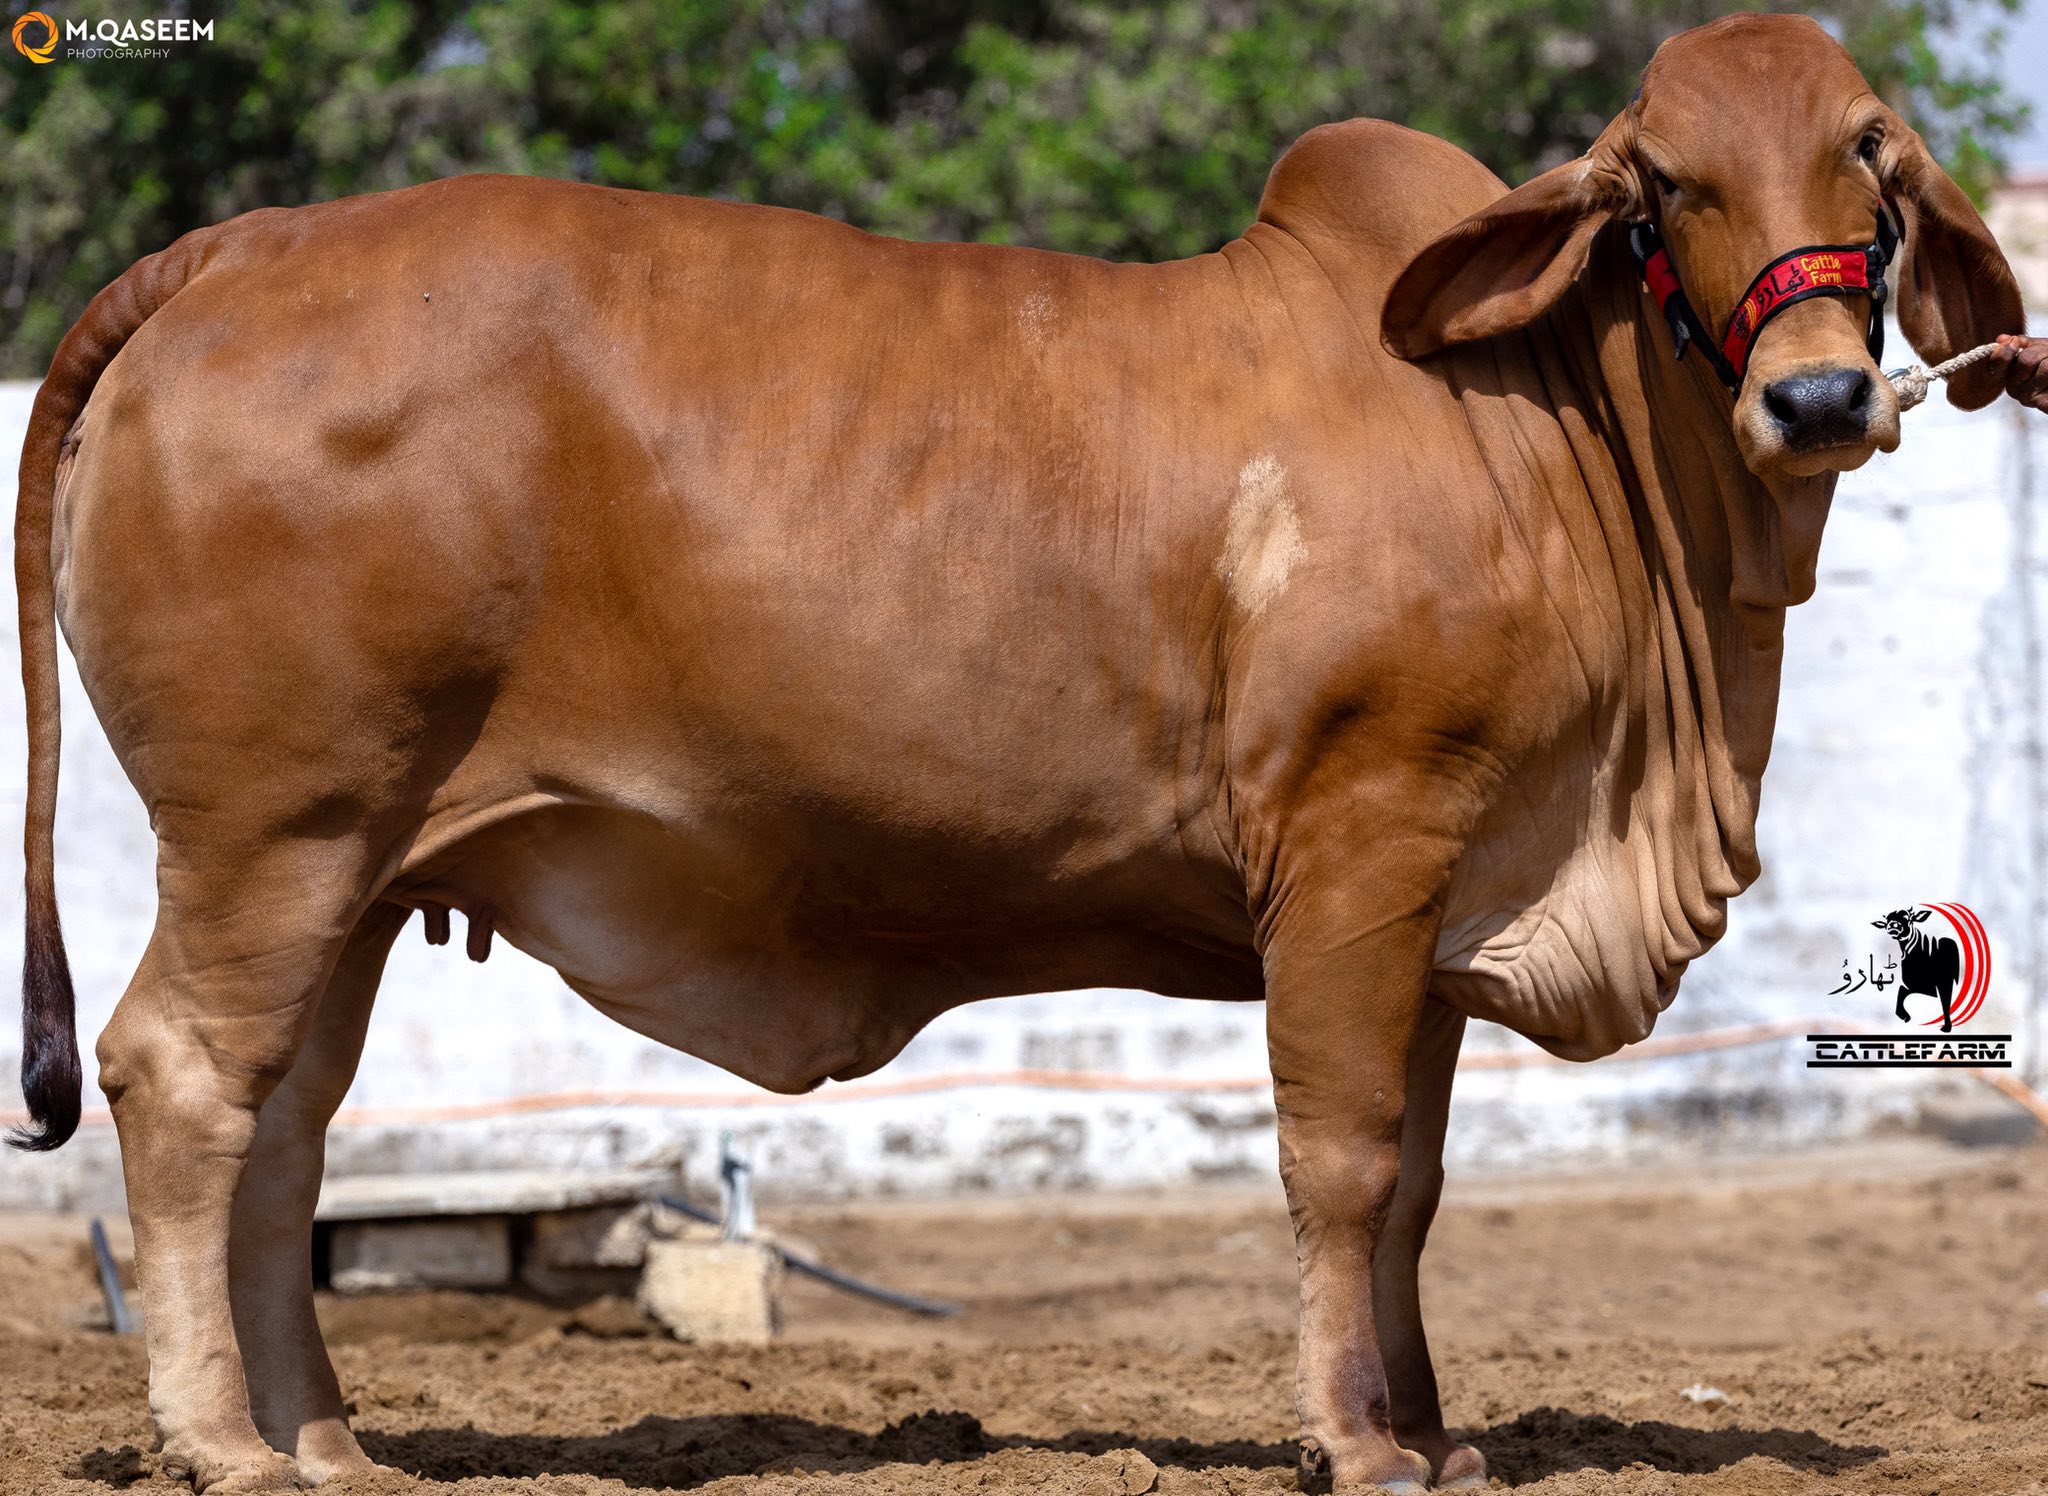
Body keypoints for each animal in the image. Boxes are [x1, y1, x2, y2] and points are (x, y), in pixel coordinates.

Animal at [8, 13, 2043, 1495]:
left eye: (1866, 155)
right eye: (1662, 186)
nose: (1814, 394)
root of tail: (234, 251)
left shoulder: (1443, 902)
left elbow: (1420, 1186)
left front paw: (1435, 1432)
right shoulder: (1360, 847)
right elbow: (1345, 1162)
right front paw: (1360, 1444)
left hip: (361, 870)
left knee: (287, 1131)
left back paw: (330, 1449)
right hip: (277, 834)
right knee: (183, 1081)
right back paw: (222, 1445)